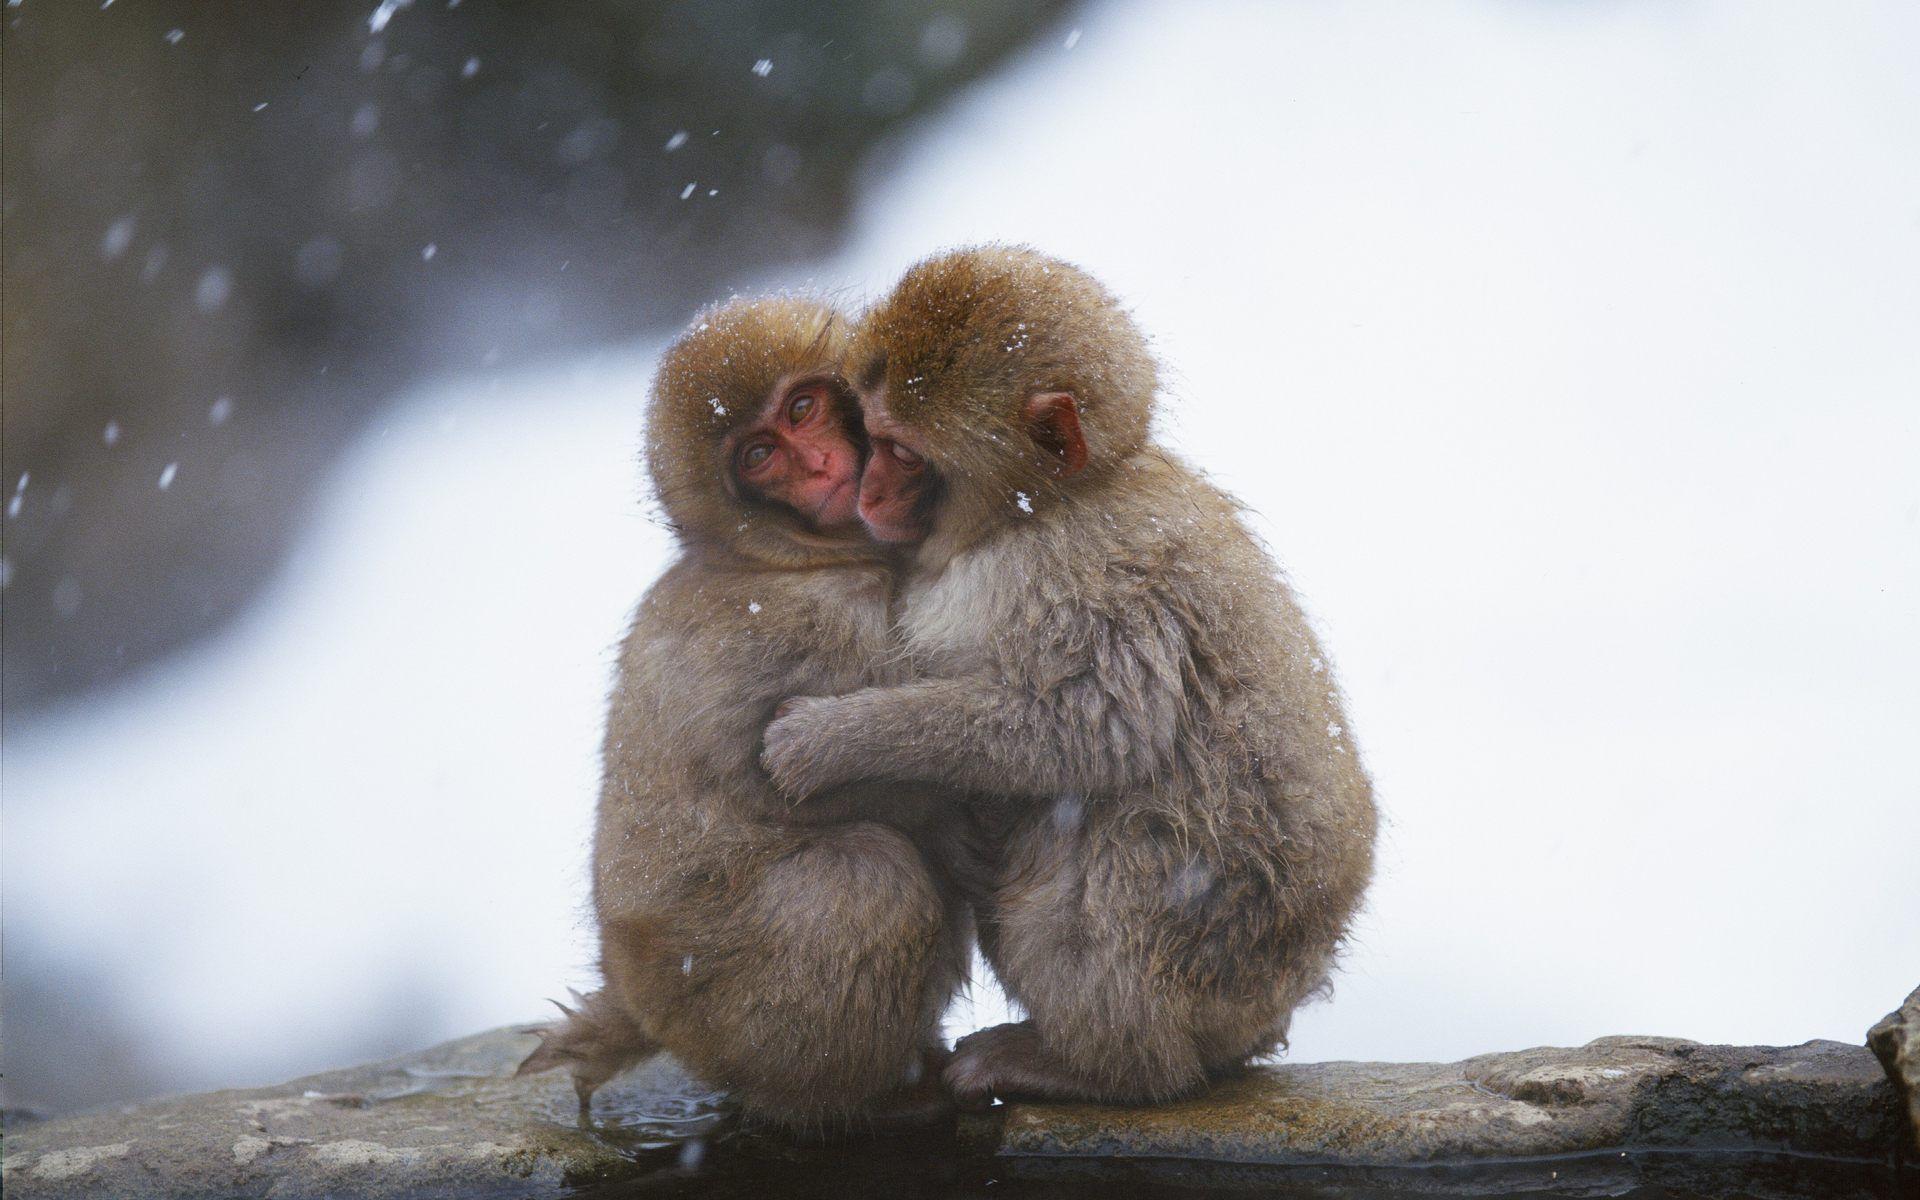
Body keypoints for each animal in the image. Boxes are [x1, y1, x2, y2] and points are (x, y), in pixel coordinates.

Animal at [518, 296, 967, 1133]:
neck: (780, 556)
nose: (820, 466)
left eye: (803, 409)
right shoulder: (818, 623)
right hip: (727, 999)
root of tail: (635, 998)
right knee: (869, 881)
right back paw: (862, 1100)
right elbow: (834, 779)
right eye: (760, 455)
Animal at [760, 246, 1378, 1107]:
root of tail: (1275, 999)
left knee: (1109, 841)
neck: (1041, 508)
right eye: (869, 435)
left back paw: (1104, 1066)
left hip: (1203, 950)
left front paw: (833, 741)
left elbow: (1092, 729)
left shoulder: (1083, 577)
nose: (867, 491)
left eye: (904, 452)